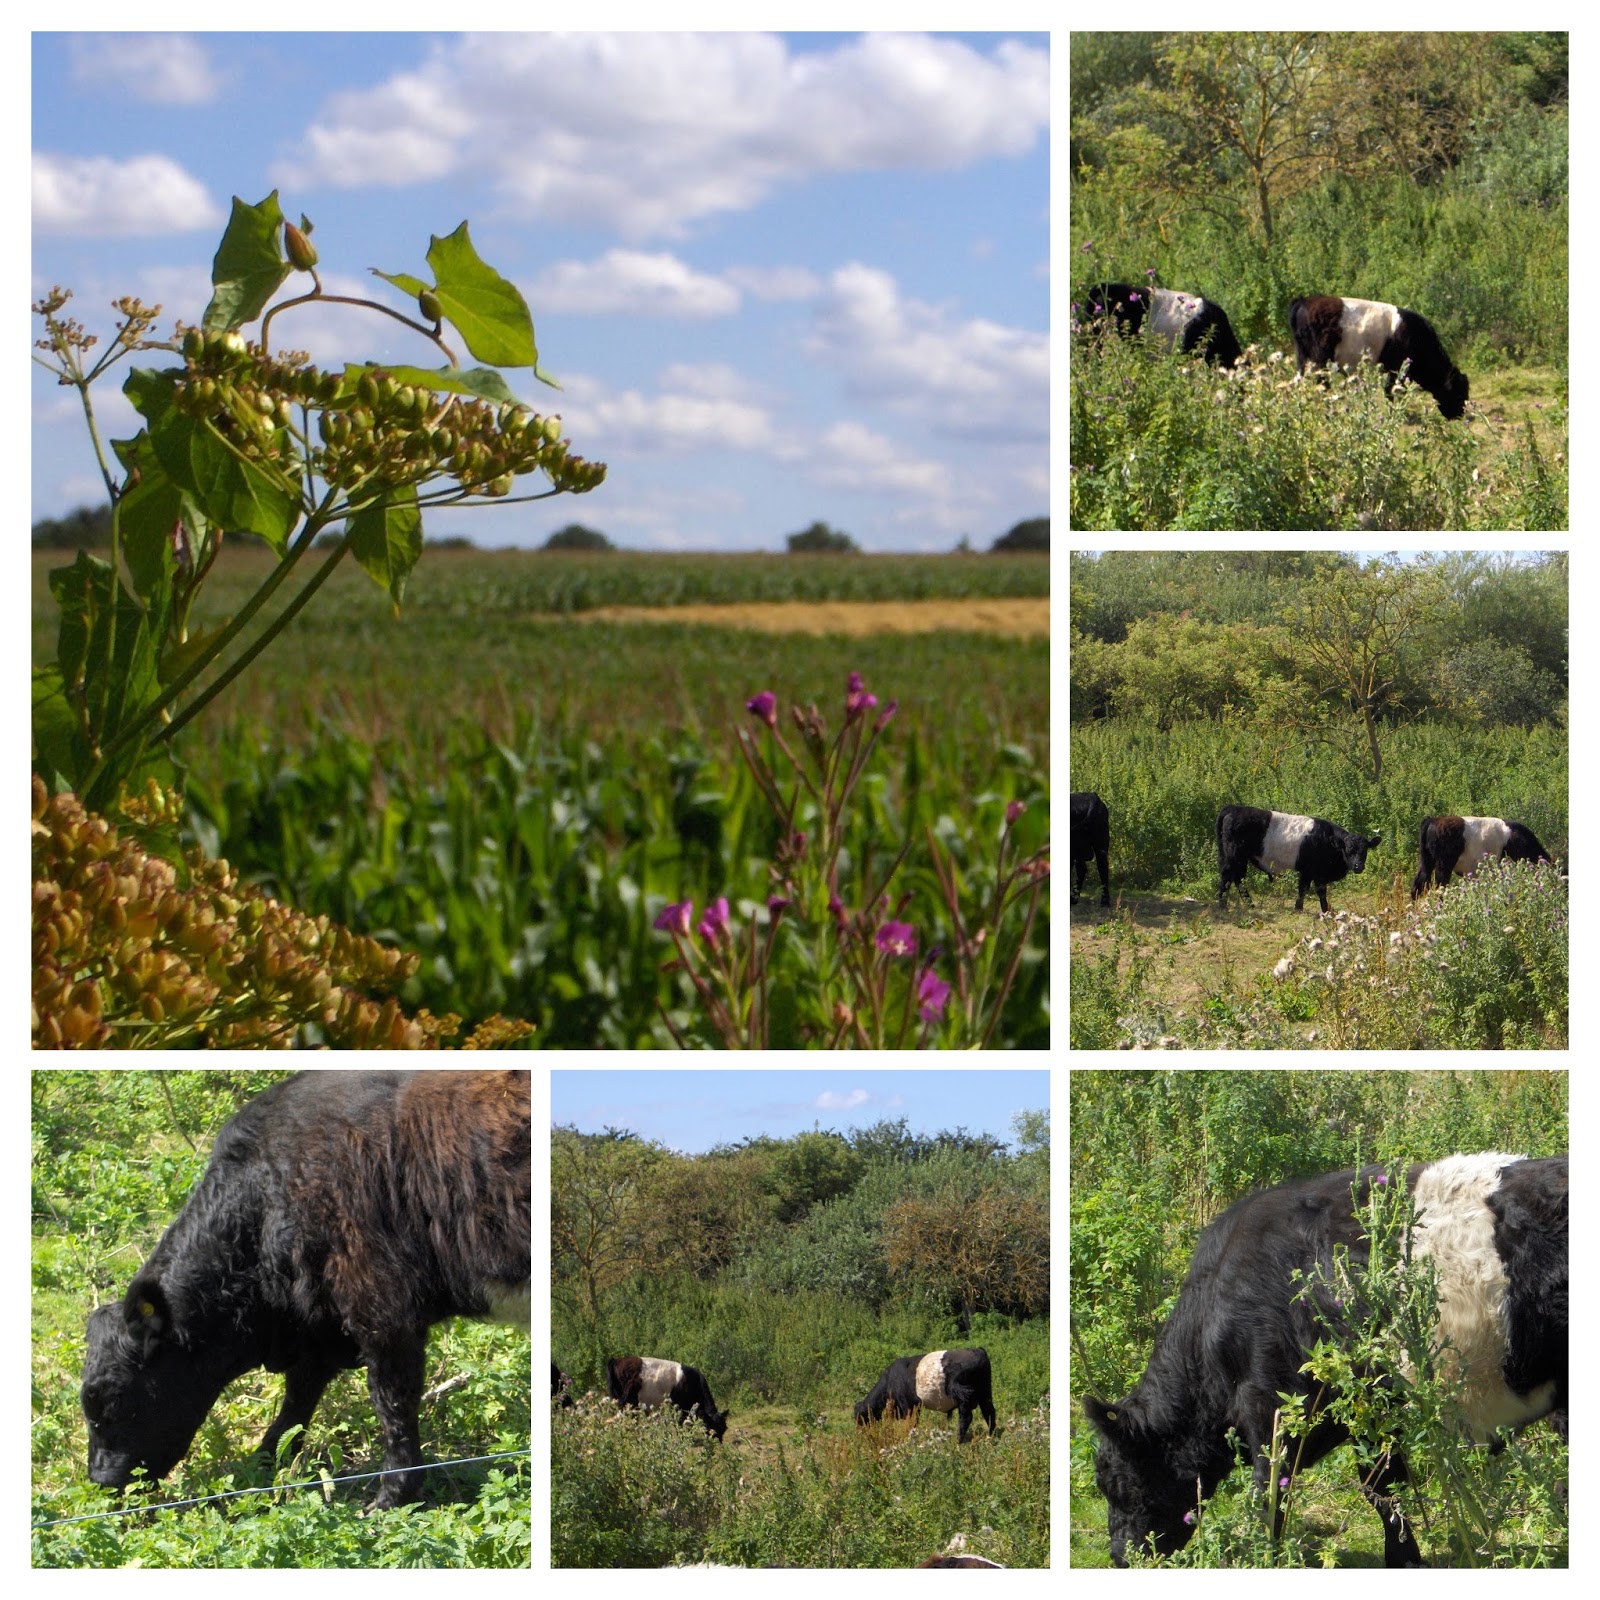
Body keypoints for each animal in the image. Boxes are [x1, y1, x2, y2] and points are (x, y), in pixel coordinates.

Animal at [81, 1070, 530, 1509]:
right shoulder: (320, 1328)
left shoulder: (383, 1313)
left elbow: (392, 1403)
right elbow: (294, 1409)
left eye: (117, 1399)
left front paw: (390, 1498)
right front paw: (258, 1473)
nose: (102, 1482)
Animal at [855, 1348, 997, 1444]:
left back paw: (958, 1441)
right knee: (989, 1412)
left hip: (963, 1396)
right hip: (984, 1392)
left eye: (860, 1419)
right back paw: (991, 1436)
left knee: (966, 1417)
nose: (864, 1436)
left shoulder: (908, 1406)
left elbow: (911, 1424)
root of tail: (977, 1350)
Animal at [1083, 1153, 1567, 1568]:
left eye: (1117, 1483)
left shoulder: (1273, 1407)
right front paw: (1405, 1559)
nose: (1120, 1557)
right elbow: (1383, 1488)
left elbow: (1271, 1496)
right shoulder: (1372, 1411)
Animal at [1217, 805, 1381, 914]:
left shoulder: (1310, 872)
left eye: (1365, 851)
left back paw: (1247, 904)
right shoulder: (1313, 871)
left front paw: (1303, 908)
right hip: (1234, 855)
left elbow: (1307, 889)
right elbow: (1313, 890)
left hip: (1240, 858)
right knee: (1228, 876)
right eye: (1348, 851)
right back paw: (1222, 904)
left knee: (1237, 878)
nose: (1358, 866)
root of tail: (1234, 808)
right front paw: (1320, 910)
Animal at [1288, 295, 1469, 420]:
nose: (1458, 415)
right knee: (1321, 384)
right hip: (1320, 360)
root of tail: (1304, 301)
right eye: (1458, 393)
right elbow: (1391, 392)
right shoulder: (1394, 371)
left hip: (1303, 358)